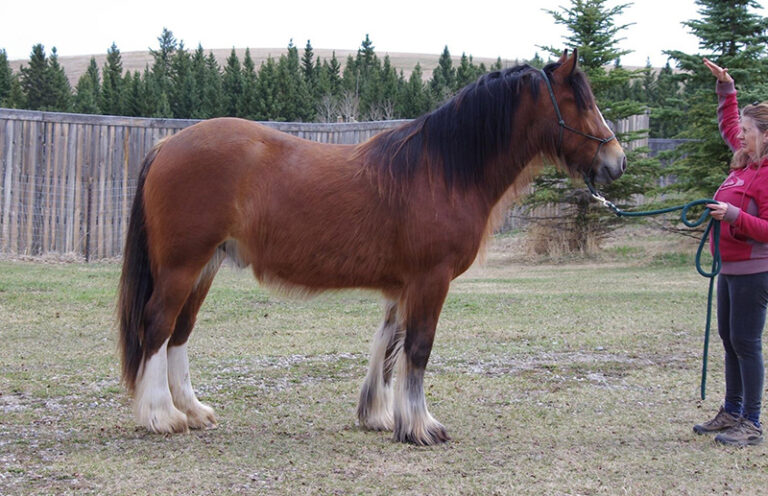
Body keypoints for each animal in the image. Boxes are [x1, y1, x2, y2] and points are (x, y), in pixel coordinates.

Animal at [118, 50, 625, 445]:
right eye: (580, 104)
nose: (616, 162)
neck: (441, 171)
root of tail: (167, 145)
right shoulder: (430, 279)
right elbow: (418, 348)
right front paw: (421, 427)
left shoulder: (403, 286)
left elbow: (389, 346)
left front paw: (379, 416)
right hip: (183, 265)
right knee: (158, 325)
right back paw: (161, 416)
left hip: (205, 265)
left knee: (180, 330)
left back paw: (193, 411)